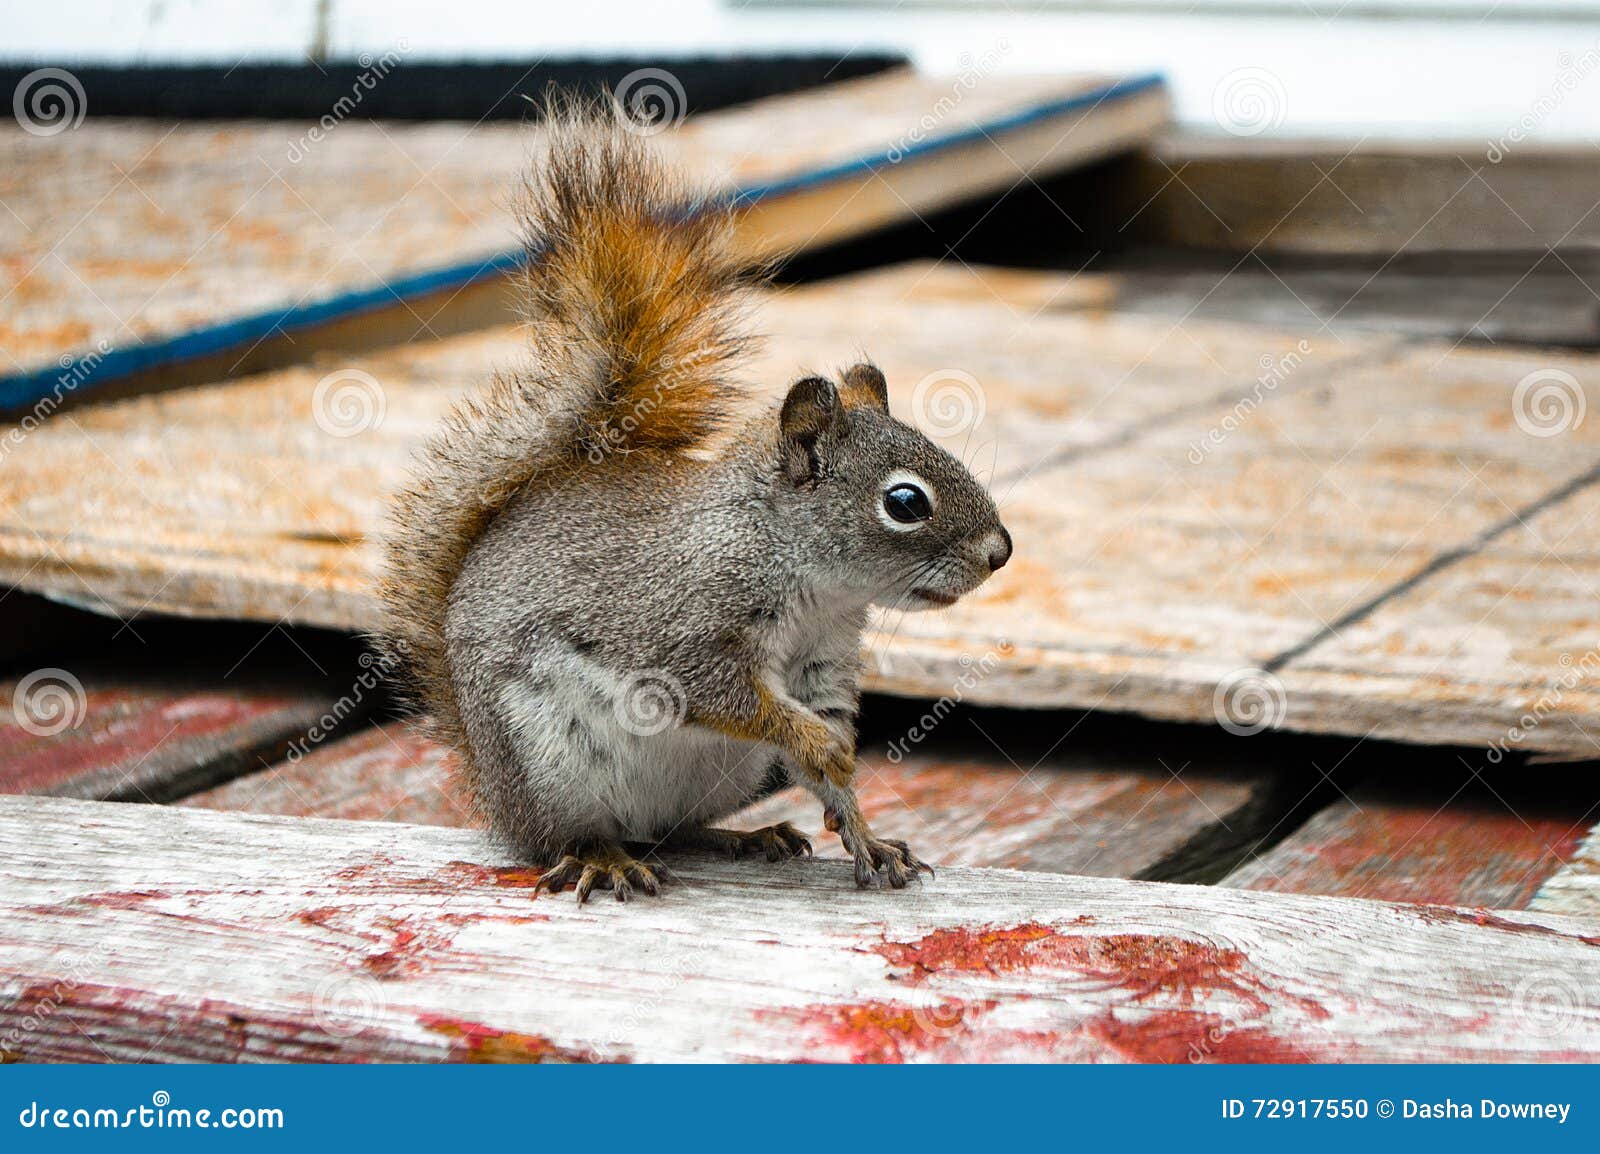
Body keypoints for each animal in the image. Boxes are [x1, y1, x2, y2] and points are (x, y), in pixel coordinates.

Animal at [374, 102, 1013, 902]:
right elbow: (734, 700)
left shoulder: (821, 663)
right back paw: (605, 858)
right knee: (577, 834)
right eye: (905, 501)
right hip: (550, 765)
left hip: (717, 773)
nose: (1001, 552)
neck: (803, 574)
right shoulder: (683, 632)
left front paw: (866, 833)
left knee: (676, 829)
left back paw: (747, 835)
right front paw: (818, 744)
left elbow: (827, 762)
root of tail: (495, 796)